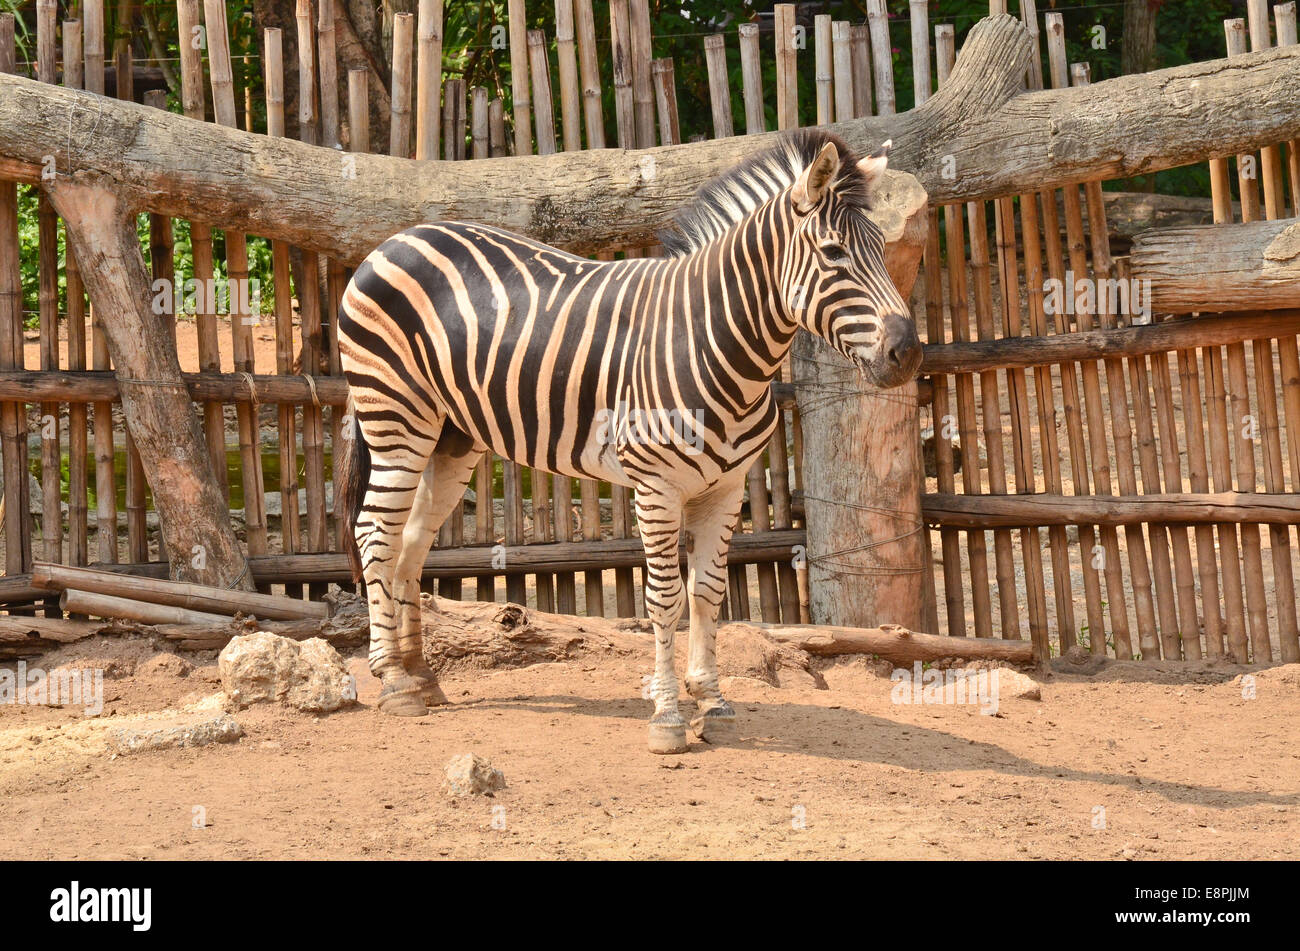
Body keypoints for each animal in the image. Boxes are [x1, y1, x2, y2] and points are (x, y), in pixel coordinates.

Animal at [335, 128, 922, 754]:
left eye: (882, 249)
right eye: (834, 254)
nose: (908, 354)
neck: (717, 342)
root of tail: (396, 238)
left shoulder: (726, 489)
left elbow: (707, 593)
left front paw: (712, 702)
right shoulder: (656, 486)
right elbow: (664, 597)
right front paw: (667, 715)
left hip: (449, 438)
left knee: (411, 542)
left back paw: (422, 675)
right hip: (395, 417)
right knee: (374, 534)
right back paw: (393, 682)